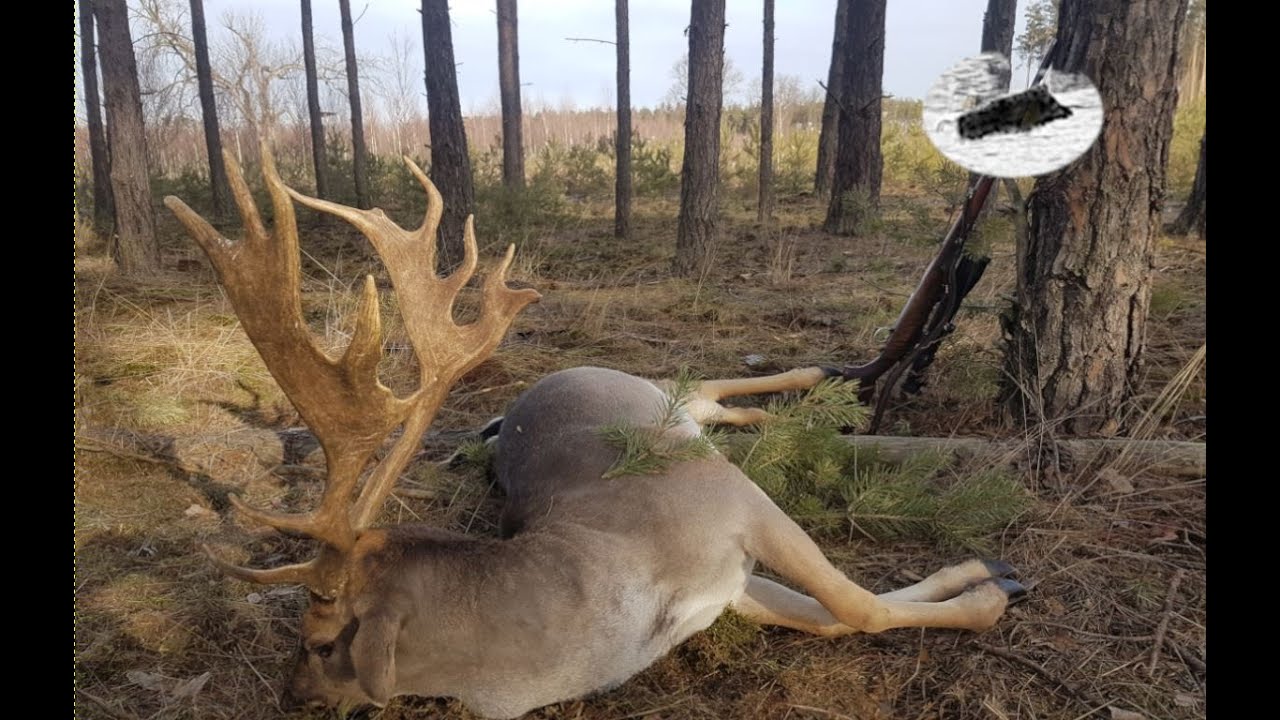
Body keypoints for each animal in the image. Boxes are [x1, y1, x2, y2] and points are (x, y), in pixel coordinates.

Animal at [165, 145, 1025, 719]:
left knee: (703, 384)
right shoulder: (734, 586)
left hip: (657, 400)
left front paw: (988, 586)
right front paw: (988, 578)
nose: (290, 696)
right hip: (679, 415)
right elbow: (843, 617)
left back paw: (823, 379)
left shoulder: (739, 504)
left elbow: (859, 606)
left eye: (319, 639)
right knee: (714, 401)